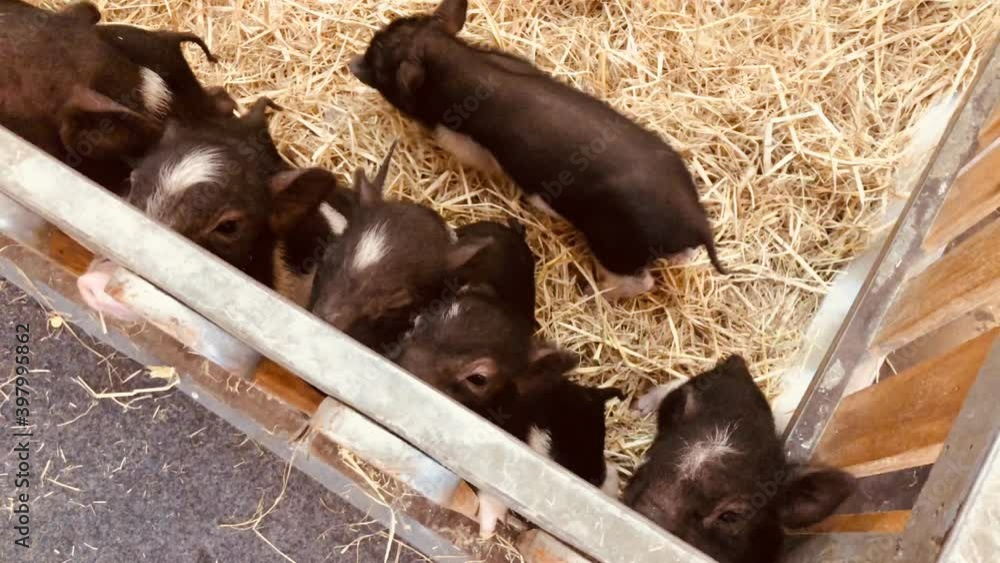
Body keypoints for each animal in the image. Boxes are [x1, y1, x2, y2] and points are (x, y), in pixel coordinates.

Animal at [349, 0, 726, 300]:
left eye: (380, 66)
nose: (353, 64)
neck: (458, 63)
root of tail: (694, 219)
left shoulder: (464, 142)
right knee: (683, 258)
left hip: (615, 245)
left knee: (640, 282)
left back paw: (591, 292)